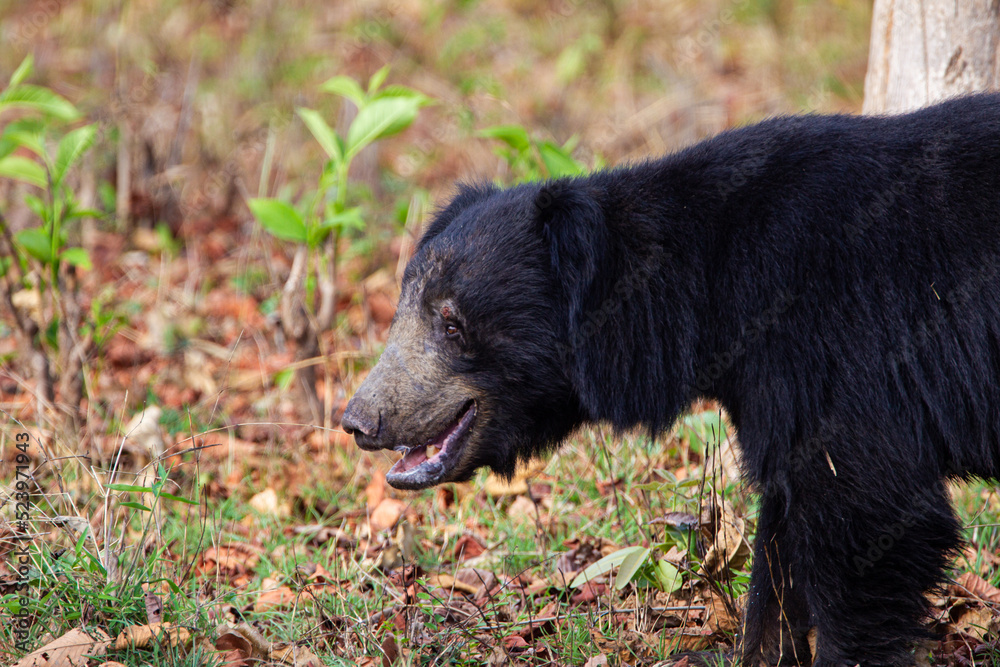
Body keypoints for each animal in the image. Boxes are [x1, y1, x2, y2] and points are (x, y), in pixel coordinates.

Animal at [341, 93, 1000, 666]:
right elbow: (782, 536)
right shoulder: (777, 393)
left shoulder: (839, 353)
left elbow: (865, 504)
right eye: (406, 309)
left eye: (452, 323)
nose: (359, 421)